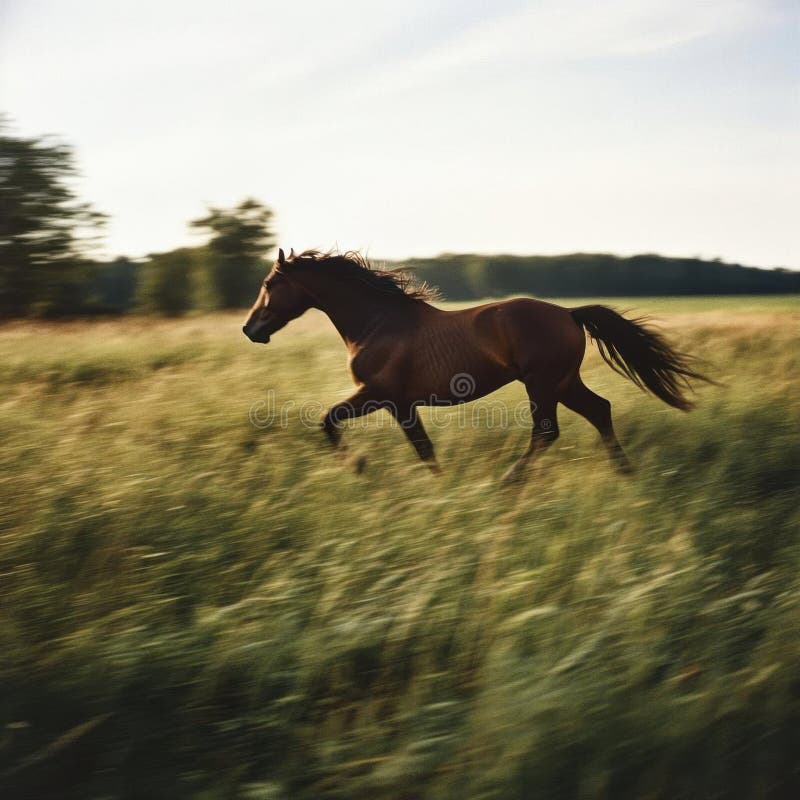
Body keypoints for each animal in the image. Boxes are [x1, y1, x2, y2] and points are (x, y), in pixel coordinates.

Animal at [243, 248, 709, 481]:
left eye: (268, 284)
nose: (250, 329)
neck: (376, 322)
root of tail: (568, 313)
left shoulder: (383, 397)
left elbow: (330, 421)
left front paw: (360, 468)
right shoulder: (399, 404)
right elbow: (422, 448)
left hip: (542, 385)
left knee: (547, 431)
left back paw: (509, 481)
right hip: (563, 383)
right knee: (599, 411)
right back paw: (624, 473)